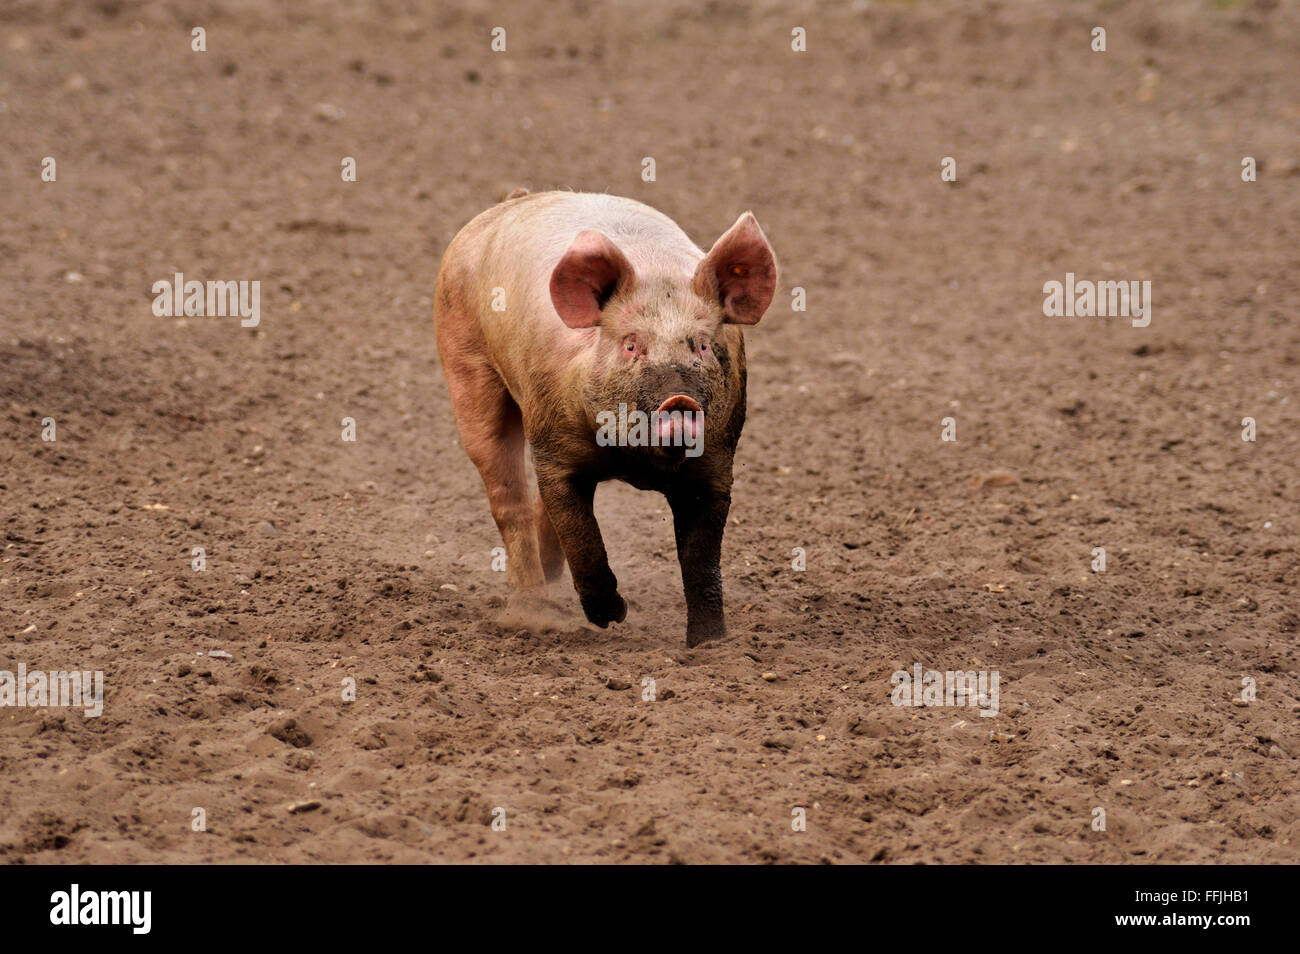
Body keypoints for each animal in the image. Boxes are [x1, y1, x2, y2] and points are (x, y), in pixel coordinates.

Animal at [434, 191, 777, 646]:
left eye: (702, 346)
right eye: (631, 346)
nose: (679, 400)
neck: (635, 461)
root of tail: (514, 201)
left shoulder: (718, 459)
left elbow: (701, 560)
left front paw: (710, 645)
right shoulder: (554, 446)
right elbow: (582, 535)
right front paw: (613, 618)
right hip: (466, 363)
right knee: (508, 497)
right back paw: (530, 617)